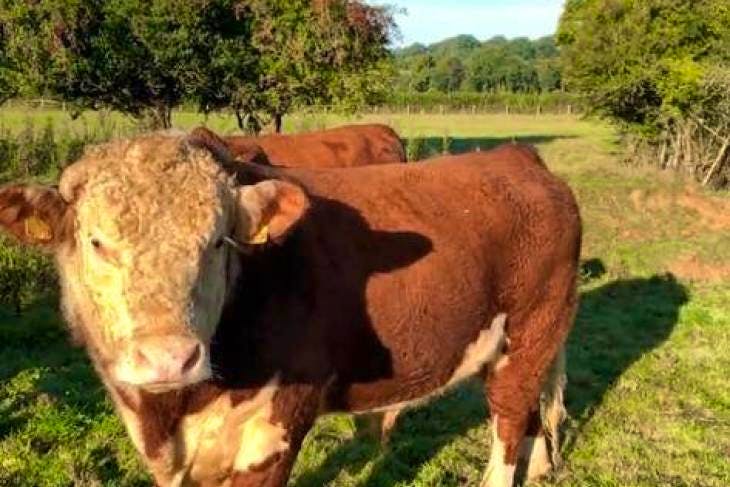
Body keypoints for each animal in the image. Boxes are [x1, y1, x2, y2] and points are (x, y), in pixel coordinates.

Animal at [0, 131, 581, 487]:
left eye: (218, 241)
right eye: (97, 242)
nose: (169, 358)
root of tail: (515, 156)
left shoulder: (275, 431)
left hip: (533, 330)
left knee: (509, 419)